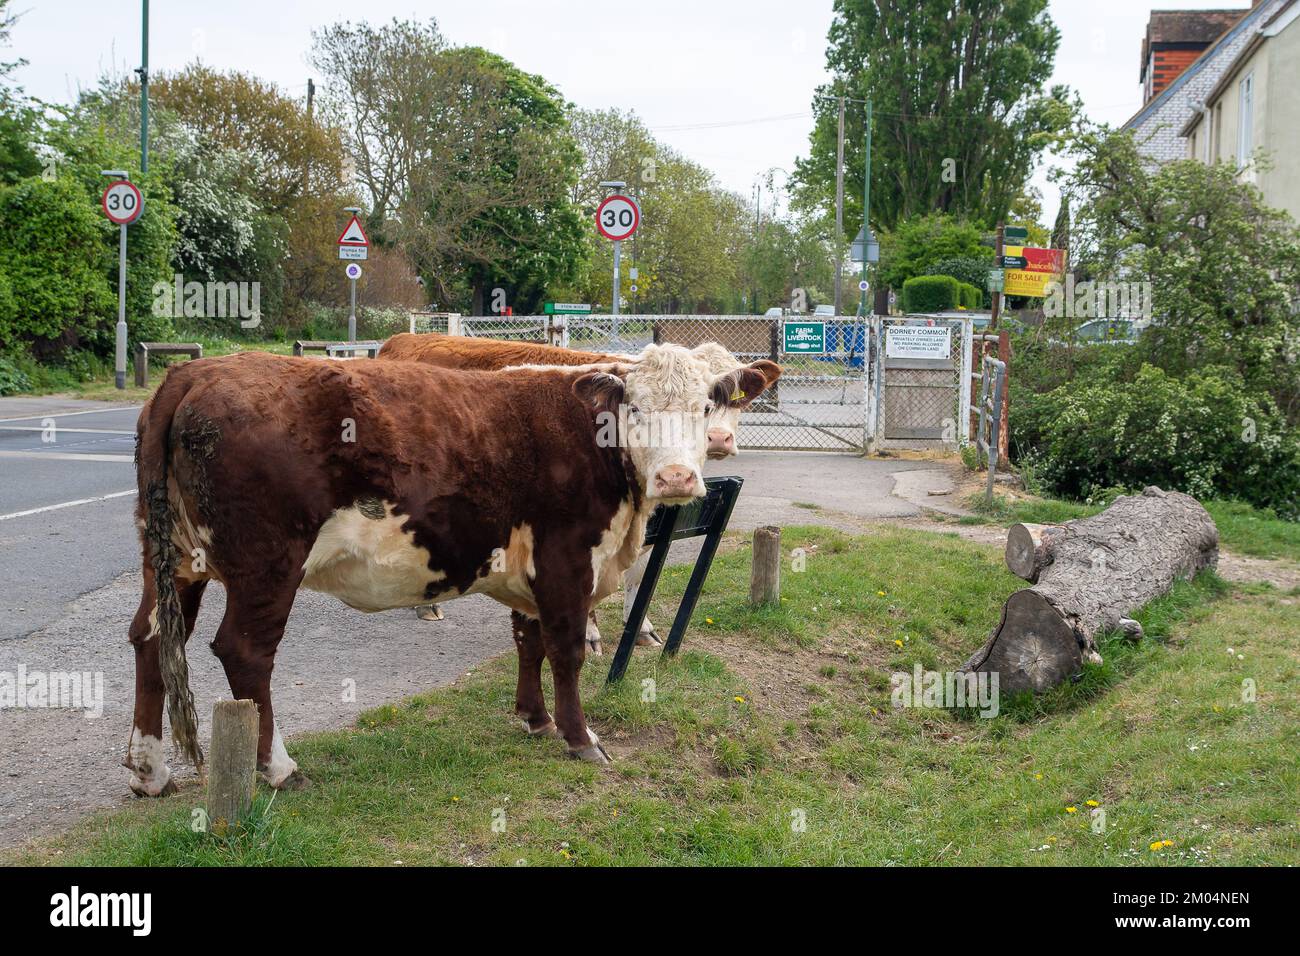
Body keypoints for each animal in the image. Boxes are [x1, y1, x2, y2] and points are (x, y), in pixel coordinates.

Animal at [376, 332, 764, 651]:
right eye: (636, 409)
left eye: (708, 406)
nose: (676, 476)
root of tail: (403, 339)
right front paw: (589, 636)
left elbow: (638, 570)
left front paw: (641, 629)